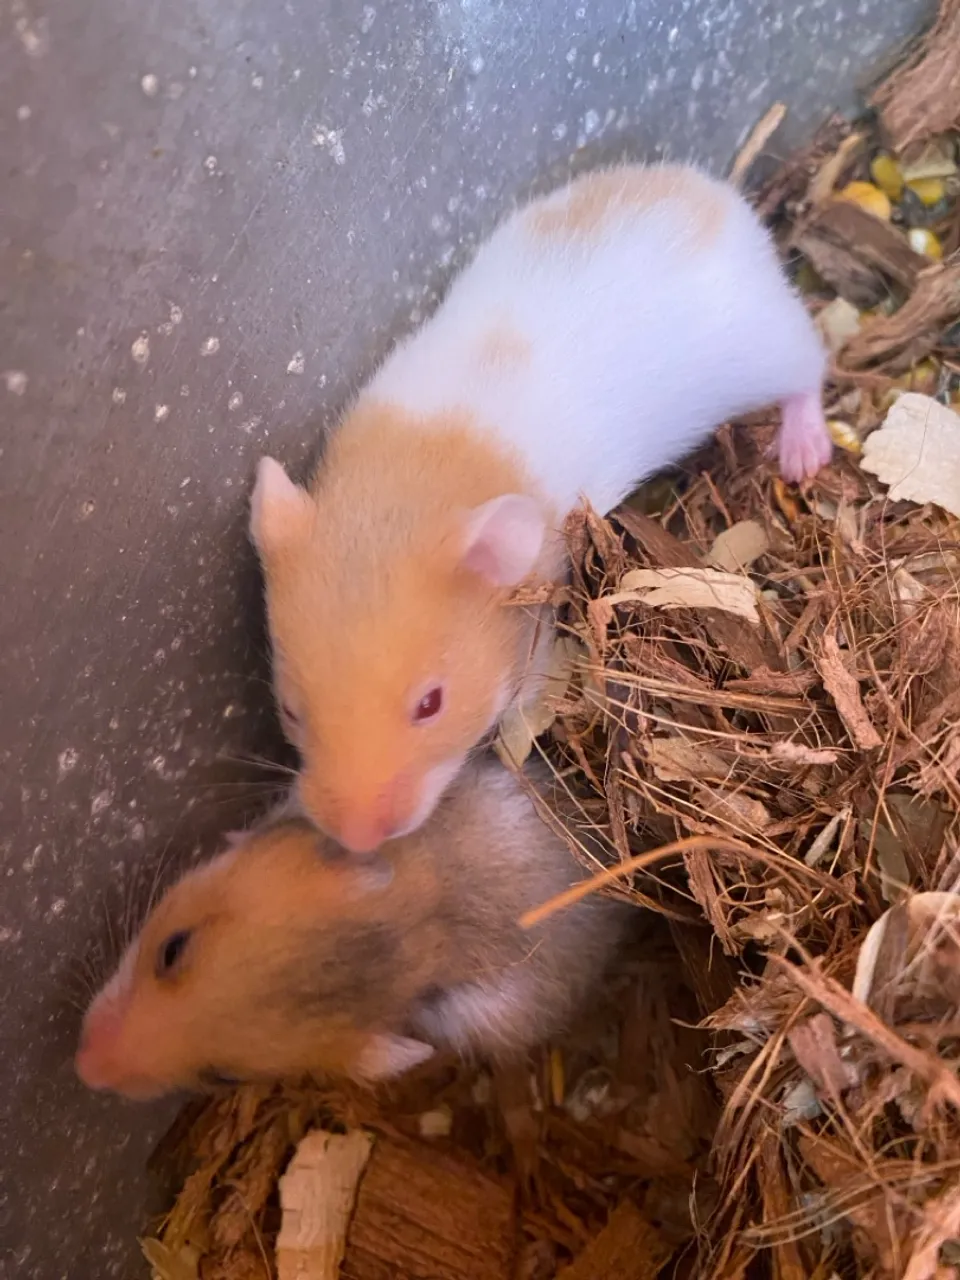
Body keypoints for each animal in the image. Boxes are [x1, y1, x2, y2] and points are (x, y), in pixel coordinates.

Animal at [251, 162, 831, 852]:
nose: (358, 843)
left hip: (768, 343)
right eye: (291, 710)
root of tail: (720, 199)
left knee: (812, 365)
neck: (409, 491)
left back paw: (802, 454)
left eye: (431, 704)